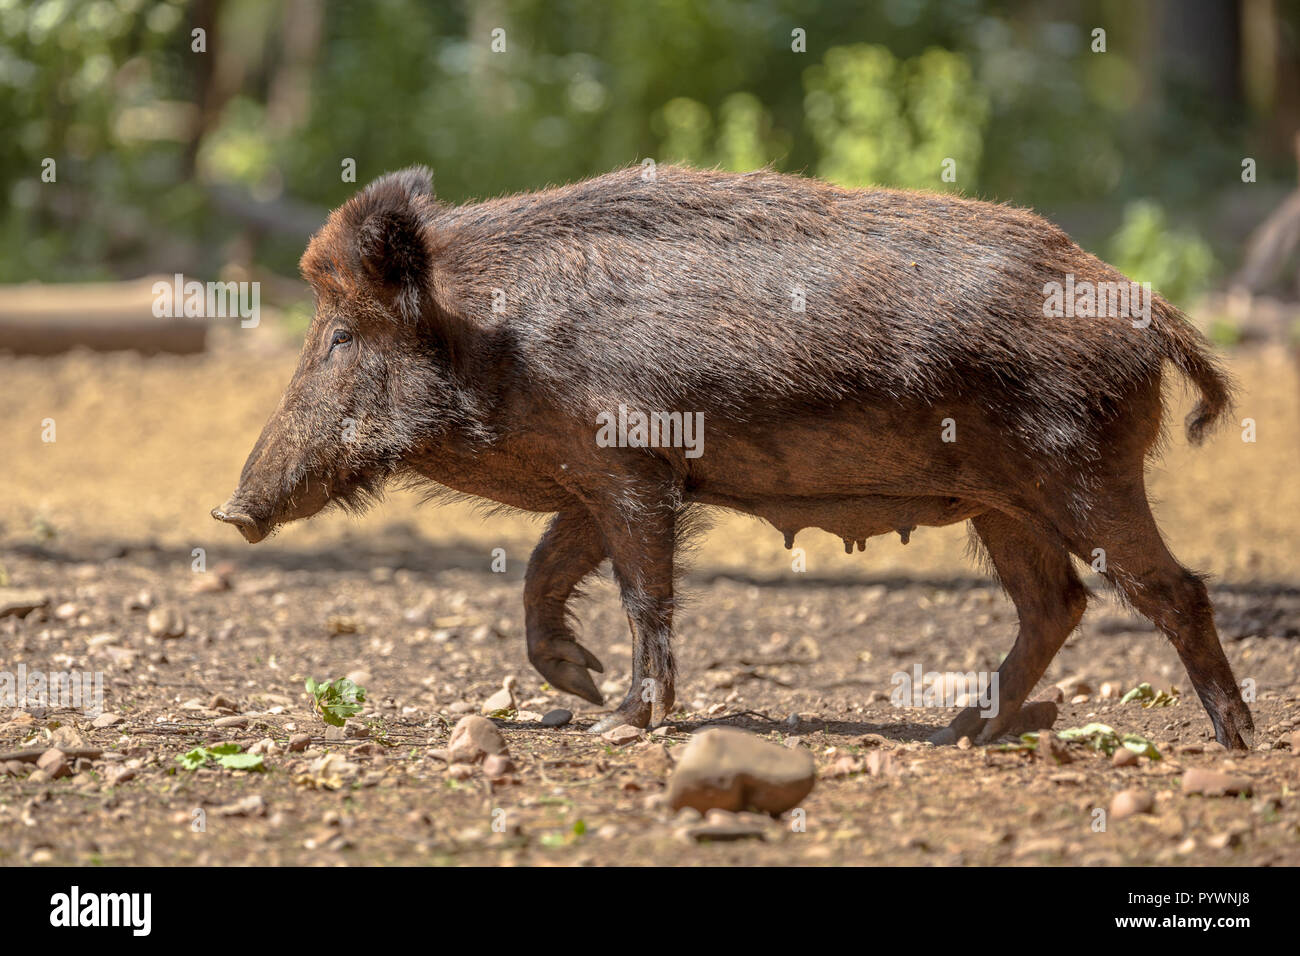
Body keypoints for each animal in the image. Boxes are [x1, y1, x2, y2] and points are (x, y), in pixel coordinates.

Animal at [212, 164, 1254, 748]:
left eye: (340, 336)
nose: (231, 509)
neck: (495, 339)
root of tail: (1146, 307)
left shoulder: (632, 465)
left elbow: (643, 591)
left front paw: (614, 724)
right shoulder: (595, 481)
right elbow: (545, 574)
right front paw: (581, 687)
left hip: (1083, 475)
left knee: (1172, 588)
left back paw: (1232, 740)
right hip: (1007, 506)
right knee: (1056, 603)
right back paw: (968, 731)